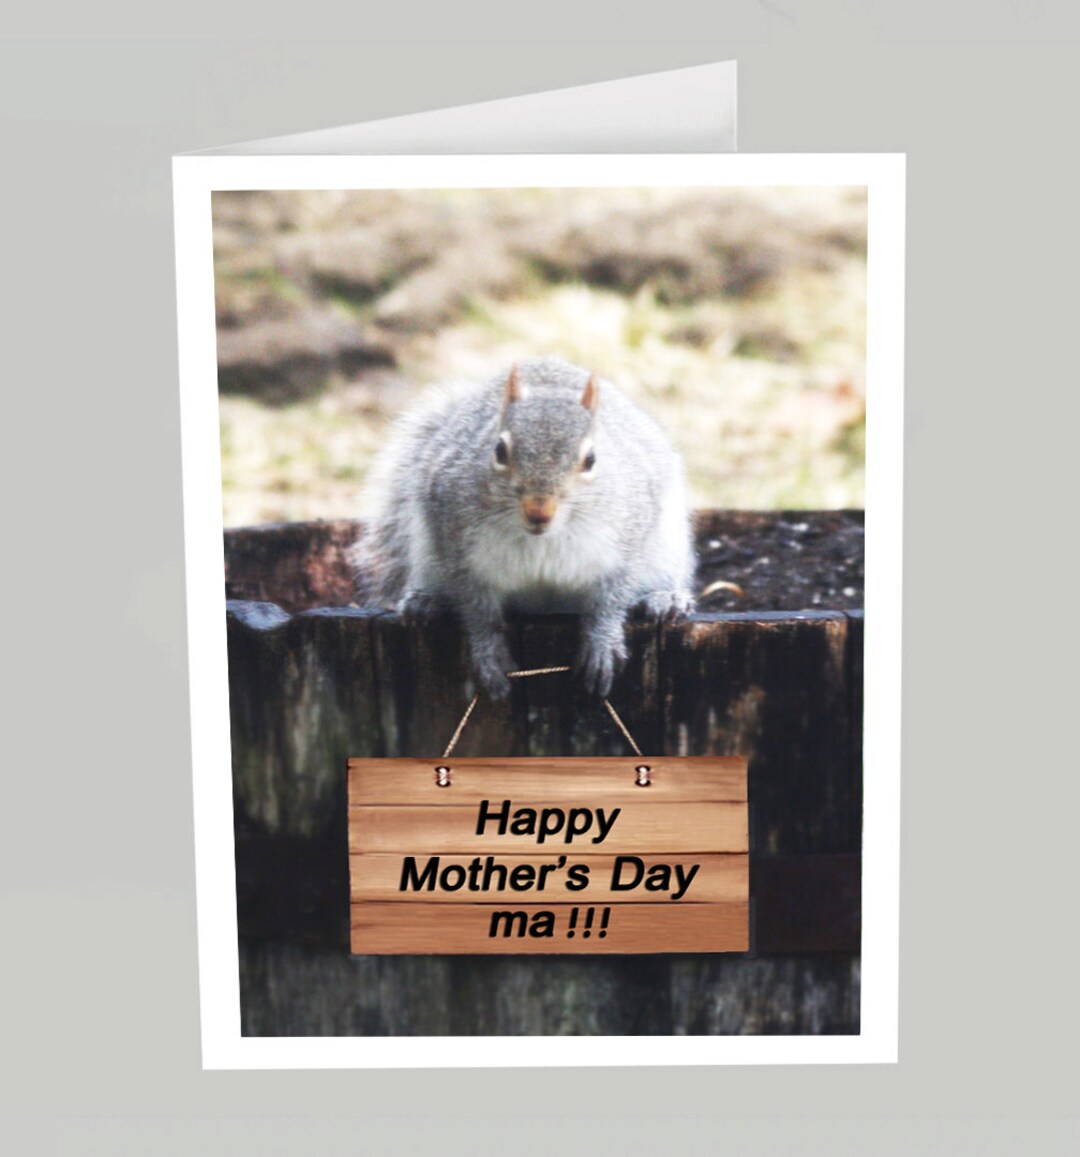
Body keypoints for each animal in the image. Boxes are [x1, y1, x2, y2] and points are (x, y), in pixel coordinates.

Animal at [353, 356, 695, 699]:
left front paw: (602, 642)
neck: (543, 539)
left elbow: (611, 599)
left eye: (591, 459)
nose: (538, 511)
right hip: (425, 554)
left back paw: (665, 599)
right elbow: (477, 609)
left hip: (667, 549)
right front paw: (488, 652)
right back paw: (425, 602)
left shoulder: (627, 541)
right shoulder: (457, 547)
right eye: (499, 450)